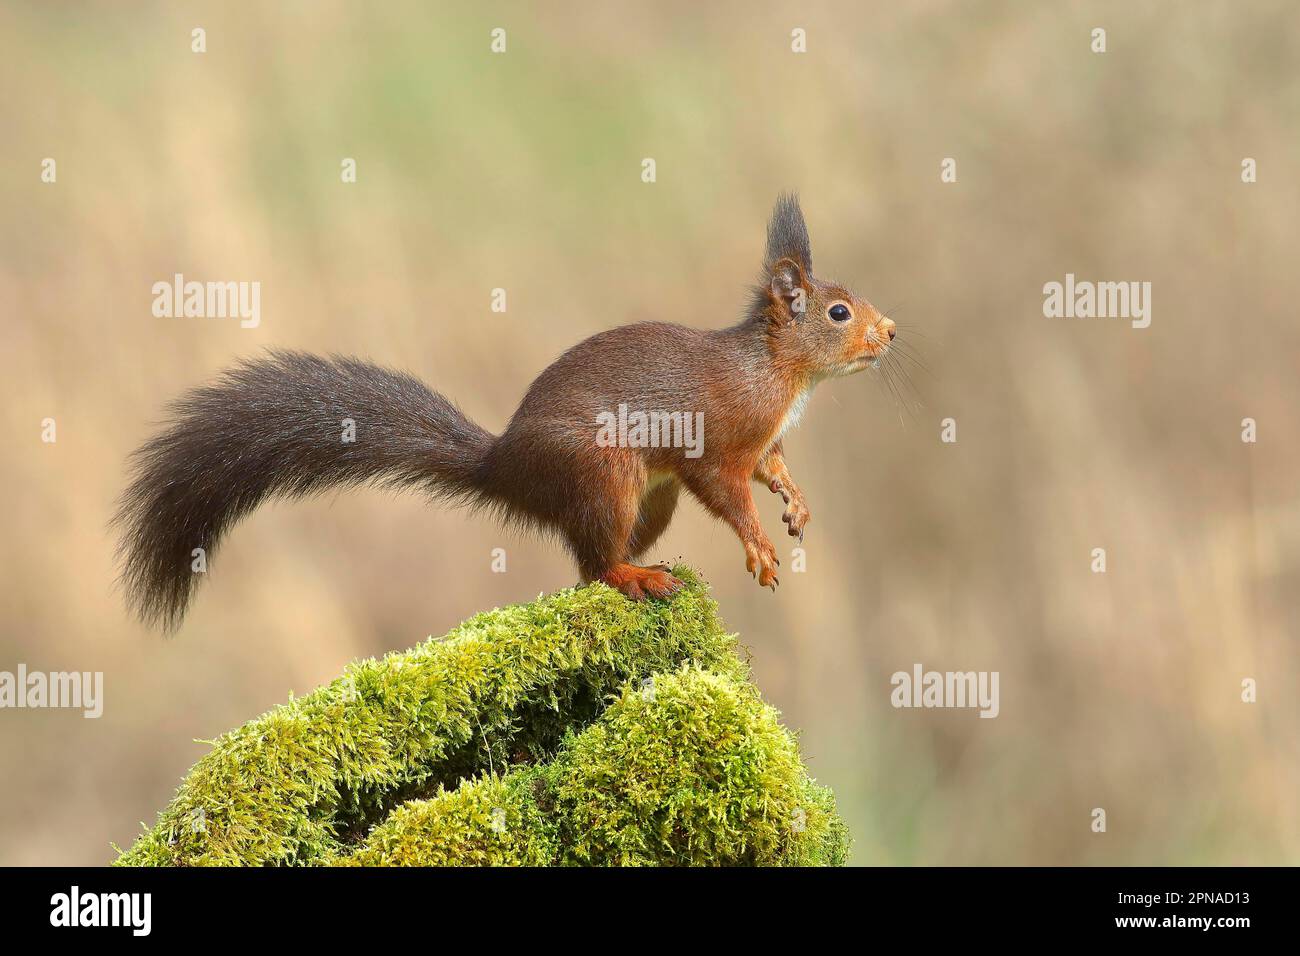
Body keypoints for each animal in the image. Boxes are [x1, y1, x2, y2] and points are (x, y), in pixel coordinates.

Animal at [114, 194, 896, 629]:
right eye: (838, 312)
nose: (891, 332)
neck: (781, 374)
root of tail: (505, 468)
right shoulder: (720, 436)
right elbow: (729, 491)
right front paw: (759, 546)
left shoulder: (765, 442)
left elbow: (774, 470)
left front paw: (796, 505)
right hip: (604, 472)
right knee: (595, 565)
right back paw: (638, 578)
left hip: (646, 501)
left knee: (586, 563)